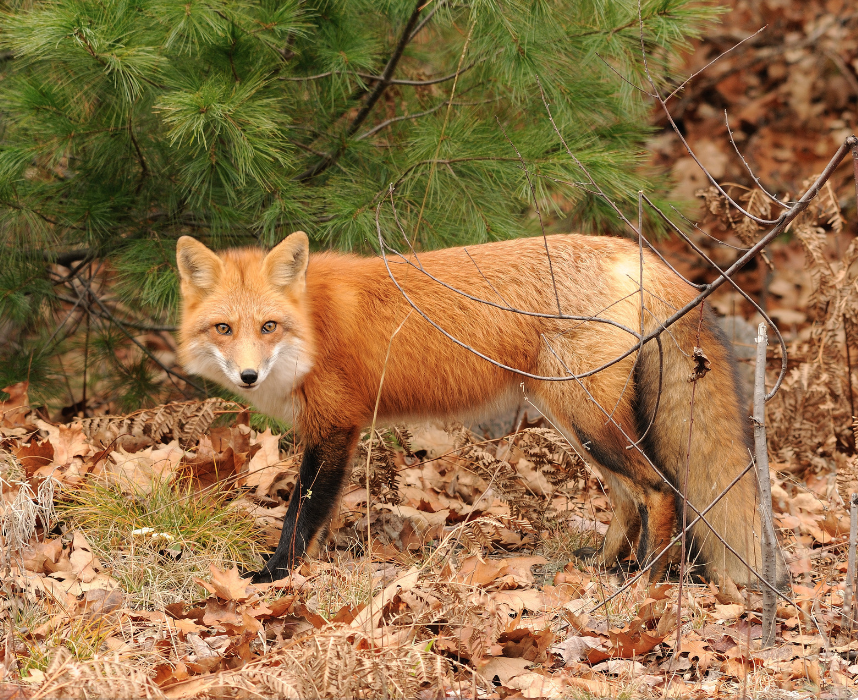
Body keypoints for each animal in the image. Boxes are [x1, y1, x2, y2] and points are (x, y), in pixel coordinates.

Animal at [176, 231, 785, 587]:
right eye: (224, 329)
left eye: (268, 326)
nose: (248, 375)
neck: (312, 329)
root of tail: (640, 254)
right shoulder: (332, 433)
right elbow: (320, 518)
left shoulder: (334, 426)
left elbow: (301, 515)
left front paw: (274, 576)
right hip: (572, 416)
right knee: (627, 497)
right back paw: (605, 566)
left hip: (587, 416)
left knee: (660, 489)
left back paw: (646, 583)